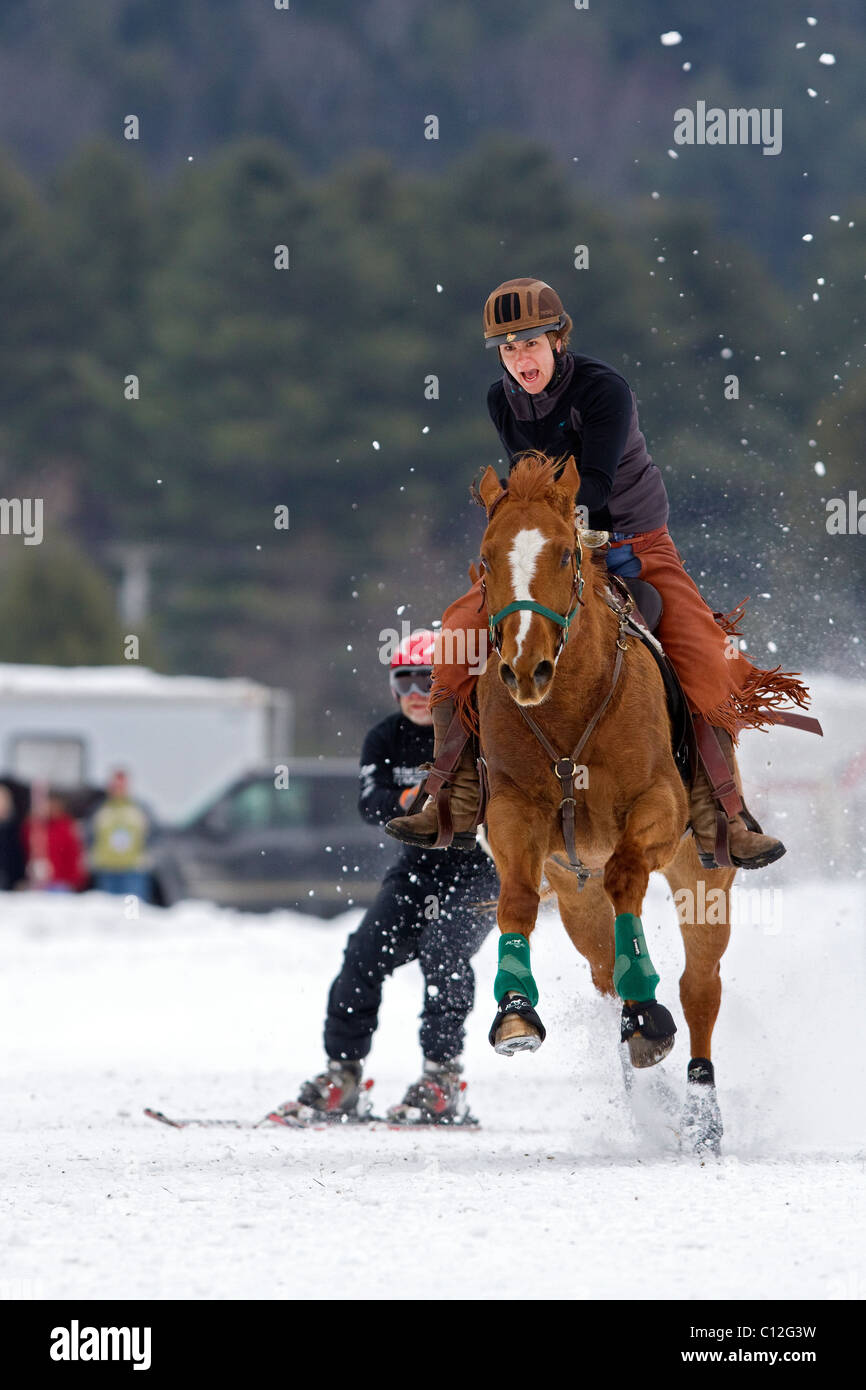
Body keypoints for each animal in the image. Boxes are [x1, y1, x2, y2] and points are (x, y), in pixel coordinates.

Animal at [474, 453, 735, 1152]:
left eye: (566, 554)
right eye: (486, 557)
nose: (525, 667)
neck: (566, 715)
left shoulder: (657, 808)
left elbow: (626, 876)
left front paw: (647, 1012)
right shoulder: (514, 815)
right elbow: (515, 900)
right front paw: (515, 1013)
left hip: (705, 875)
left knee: (700, 987)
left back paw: (701, 1116)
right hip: (575, 899)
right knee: (602, 972)